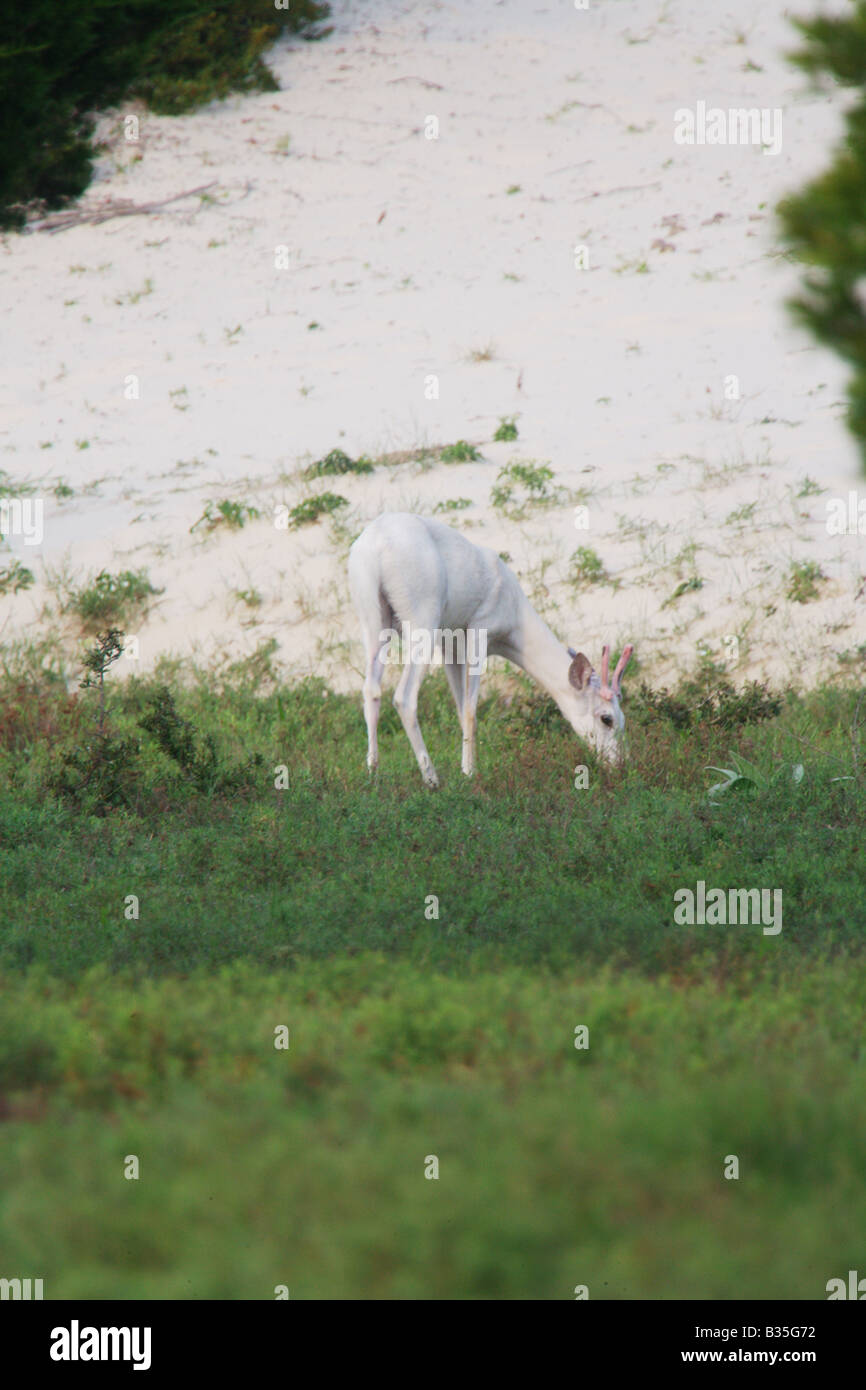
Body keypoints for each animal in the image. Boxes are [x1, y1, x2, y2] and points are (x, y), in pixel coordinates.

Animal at [348, 512, 634, 787]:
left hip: (372, 616)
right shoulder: (480, 628)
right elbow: (471, 710)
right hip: (422, 615)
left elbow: (460, 707)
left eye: (623, 719)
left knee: (371, 689)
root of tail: (374, 544)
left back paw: (373, 772)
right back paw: (431, 778)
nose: (620, 766)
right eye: (606, 718)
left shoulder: (449, 645)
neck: (513, 625)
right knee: (404, 697)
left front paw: (466, 766)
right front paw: (469, 773)